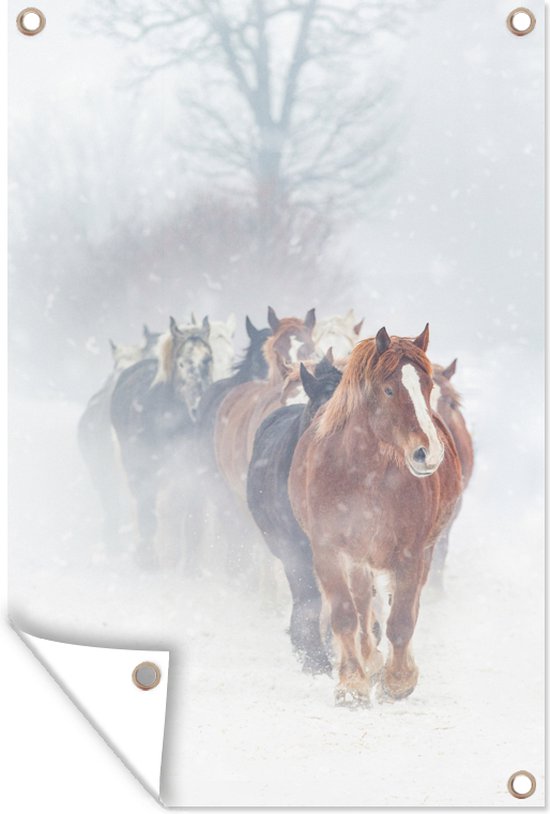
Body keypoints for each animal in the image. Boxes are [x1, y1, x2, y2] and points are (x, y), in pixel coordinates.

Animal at [110, 317, 213, 566]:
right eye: (181, 363)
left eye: (208, 359)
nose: (199, 405)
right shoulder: (147, 470)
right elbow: (150, 513)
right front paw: (150, 560)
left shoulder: (193, 474)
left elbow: (191, 518)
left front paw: (190, 566)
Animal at [288, 325, 463, 706]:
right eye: (389, 389)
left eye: (428, 387)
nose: (428, 453)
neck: (363, 476)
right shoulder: (329, 551)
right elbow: (345, 615)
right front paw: (352, 685)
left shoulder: (411, 553)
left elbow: (401, 619)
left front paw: (397, 681)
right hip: (358, 559)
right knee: (363, 605)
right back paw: (369, 661)